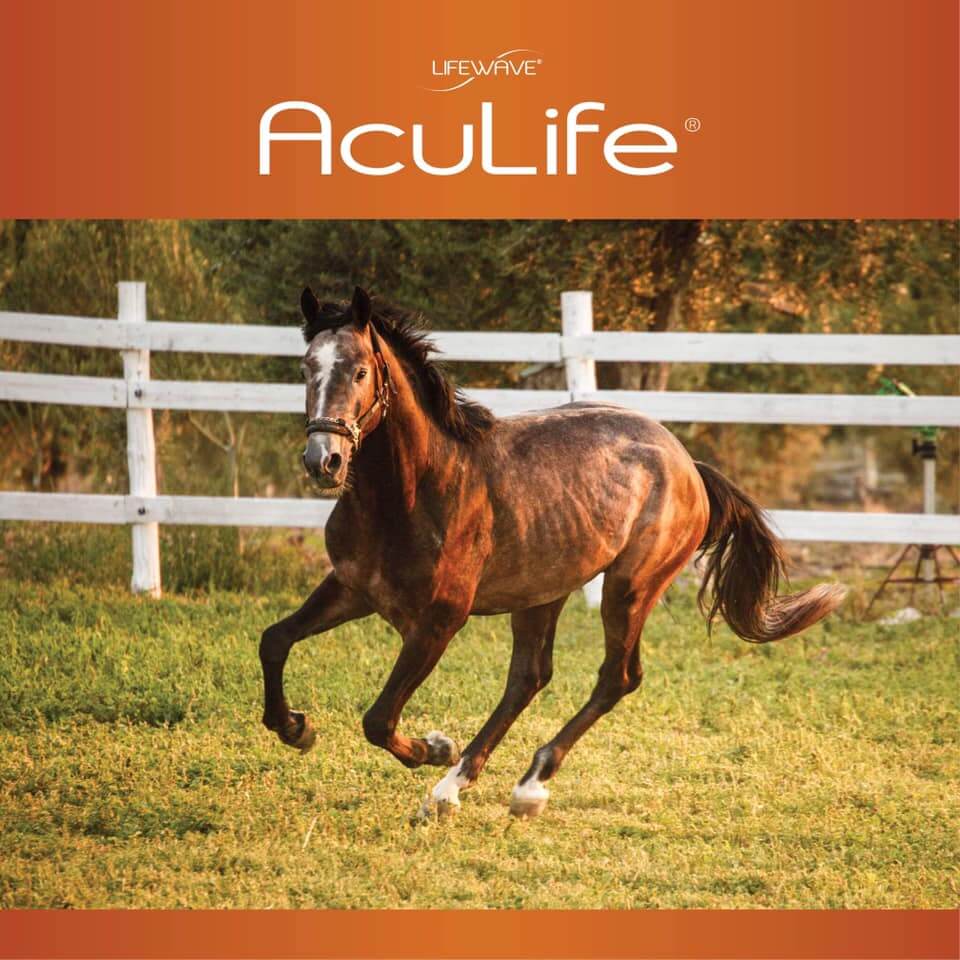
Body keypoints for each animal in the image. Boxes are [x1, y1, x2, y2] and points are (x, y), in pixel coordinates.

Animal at [259, 286, 846, 820]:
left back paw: (518, 786)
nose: (324, 460)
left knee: (616, 677)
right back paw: (460, 785)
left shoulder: (439, 621)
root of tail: (687, 463)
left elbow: (378, 719)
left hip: (630, 588)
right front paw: (296, 728)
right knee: (530, 676)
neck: (414, 492)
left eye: (360, 372)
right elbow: (275, 640)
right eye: (307, 367)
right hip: (543, 591)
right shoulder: (351, 587)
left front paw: (435, 748)